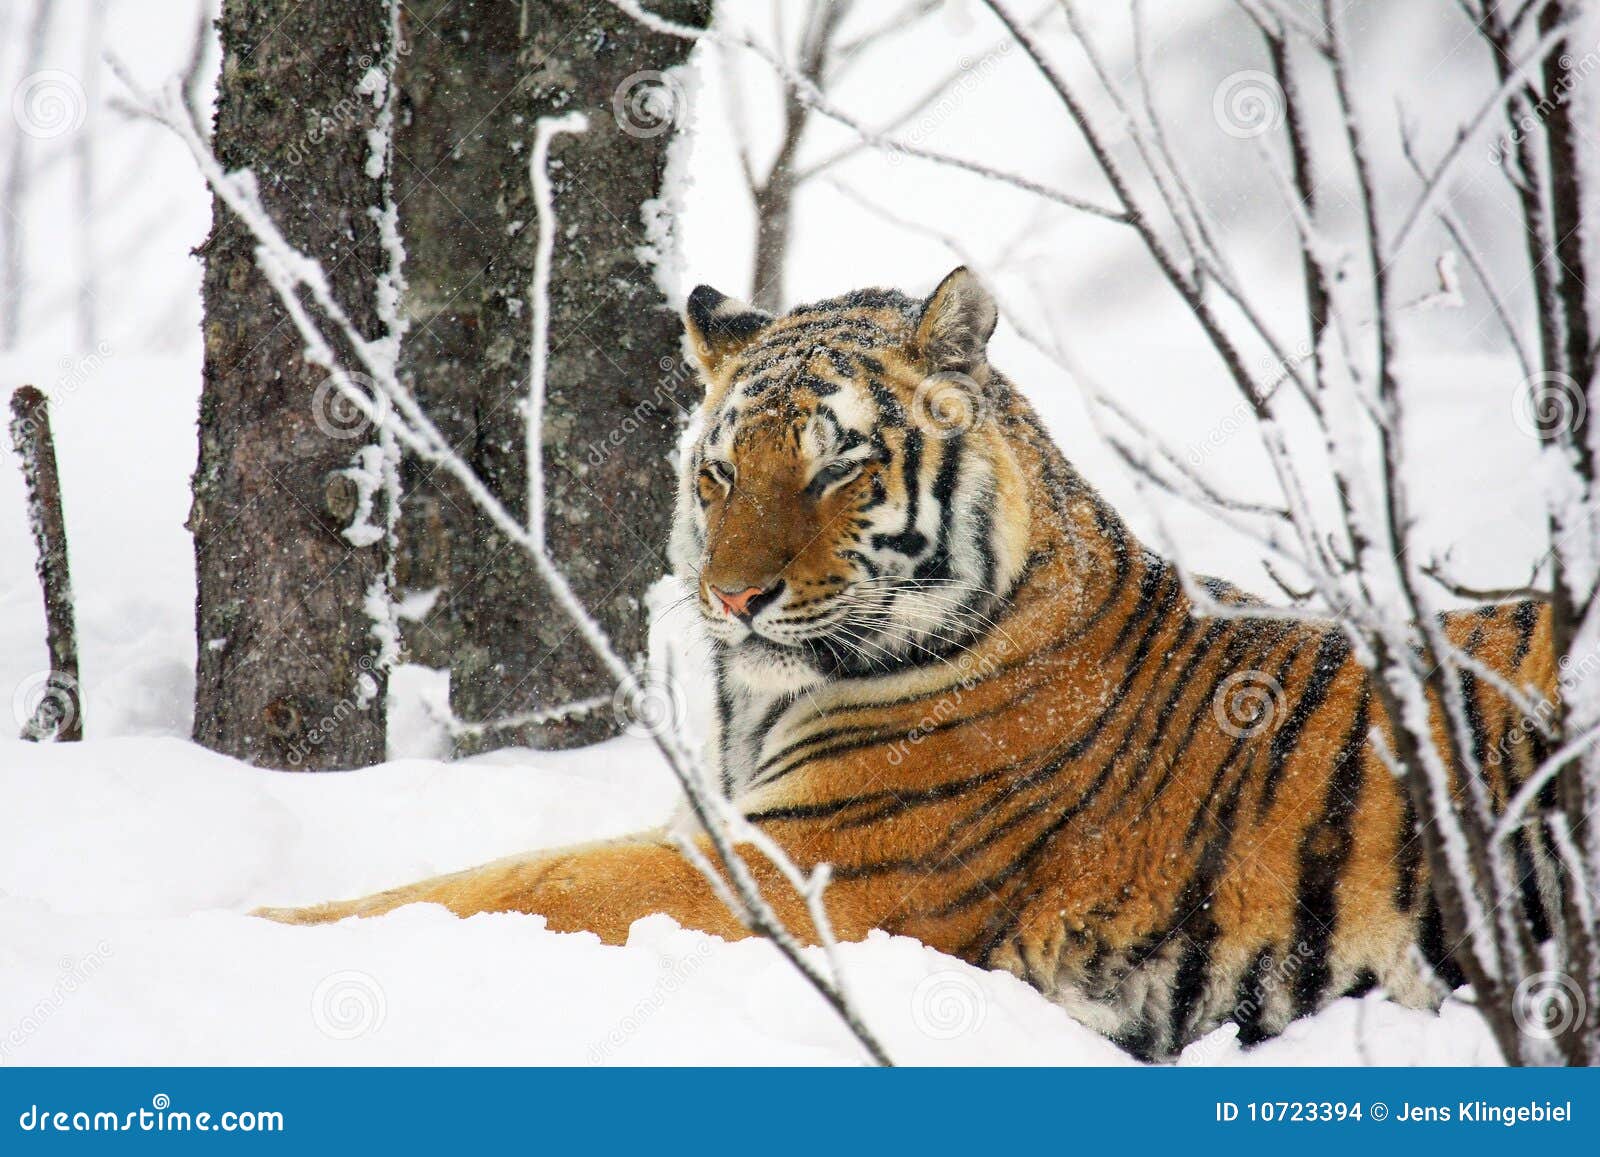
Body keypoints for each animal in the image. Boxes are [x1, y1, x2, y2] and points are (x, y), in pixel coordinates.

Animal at [260, 267, 1559, 1061]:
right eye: (718, 471)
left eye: (836, 465)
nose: (731, 595)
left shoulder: (796, 867)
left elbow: (512, 882)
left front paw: (261, 921)